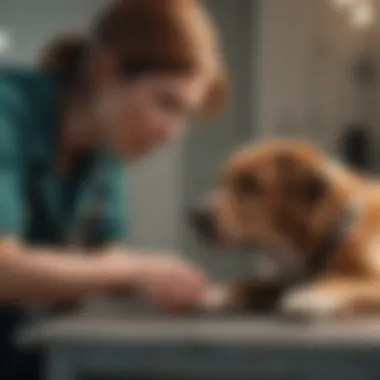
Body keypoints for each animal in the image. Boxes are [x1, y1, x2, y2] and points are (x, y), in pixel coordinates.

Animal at [193, 139, 380, 318]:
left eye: (251, 184)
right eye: (220, 180)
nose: (195, 217)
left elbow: (343, 281)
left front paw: (310, 295)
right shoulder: (292, 276)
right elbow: (257, 281)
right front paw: (220, 291)